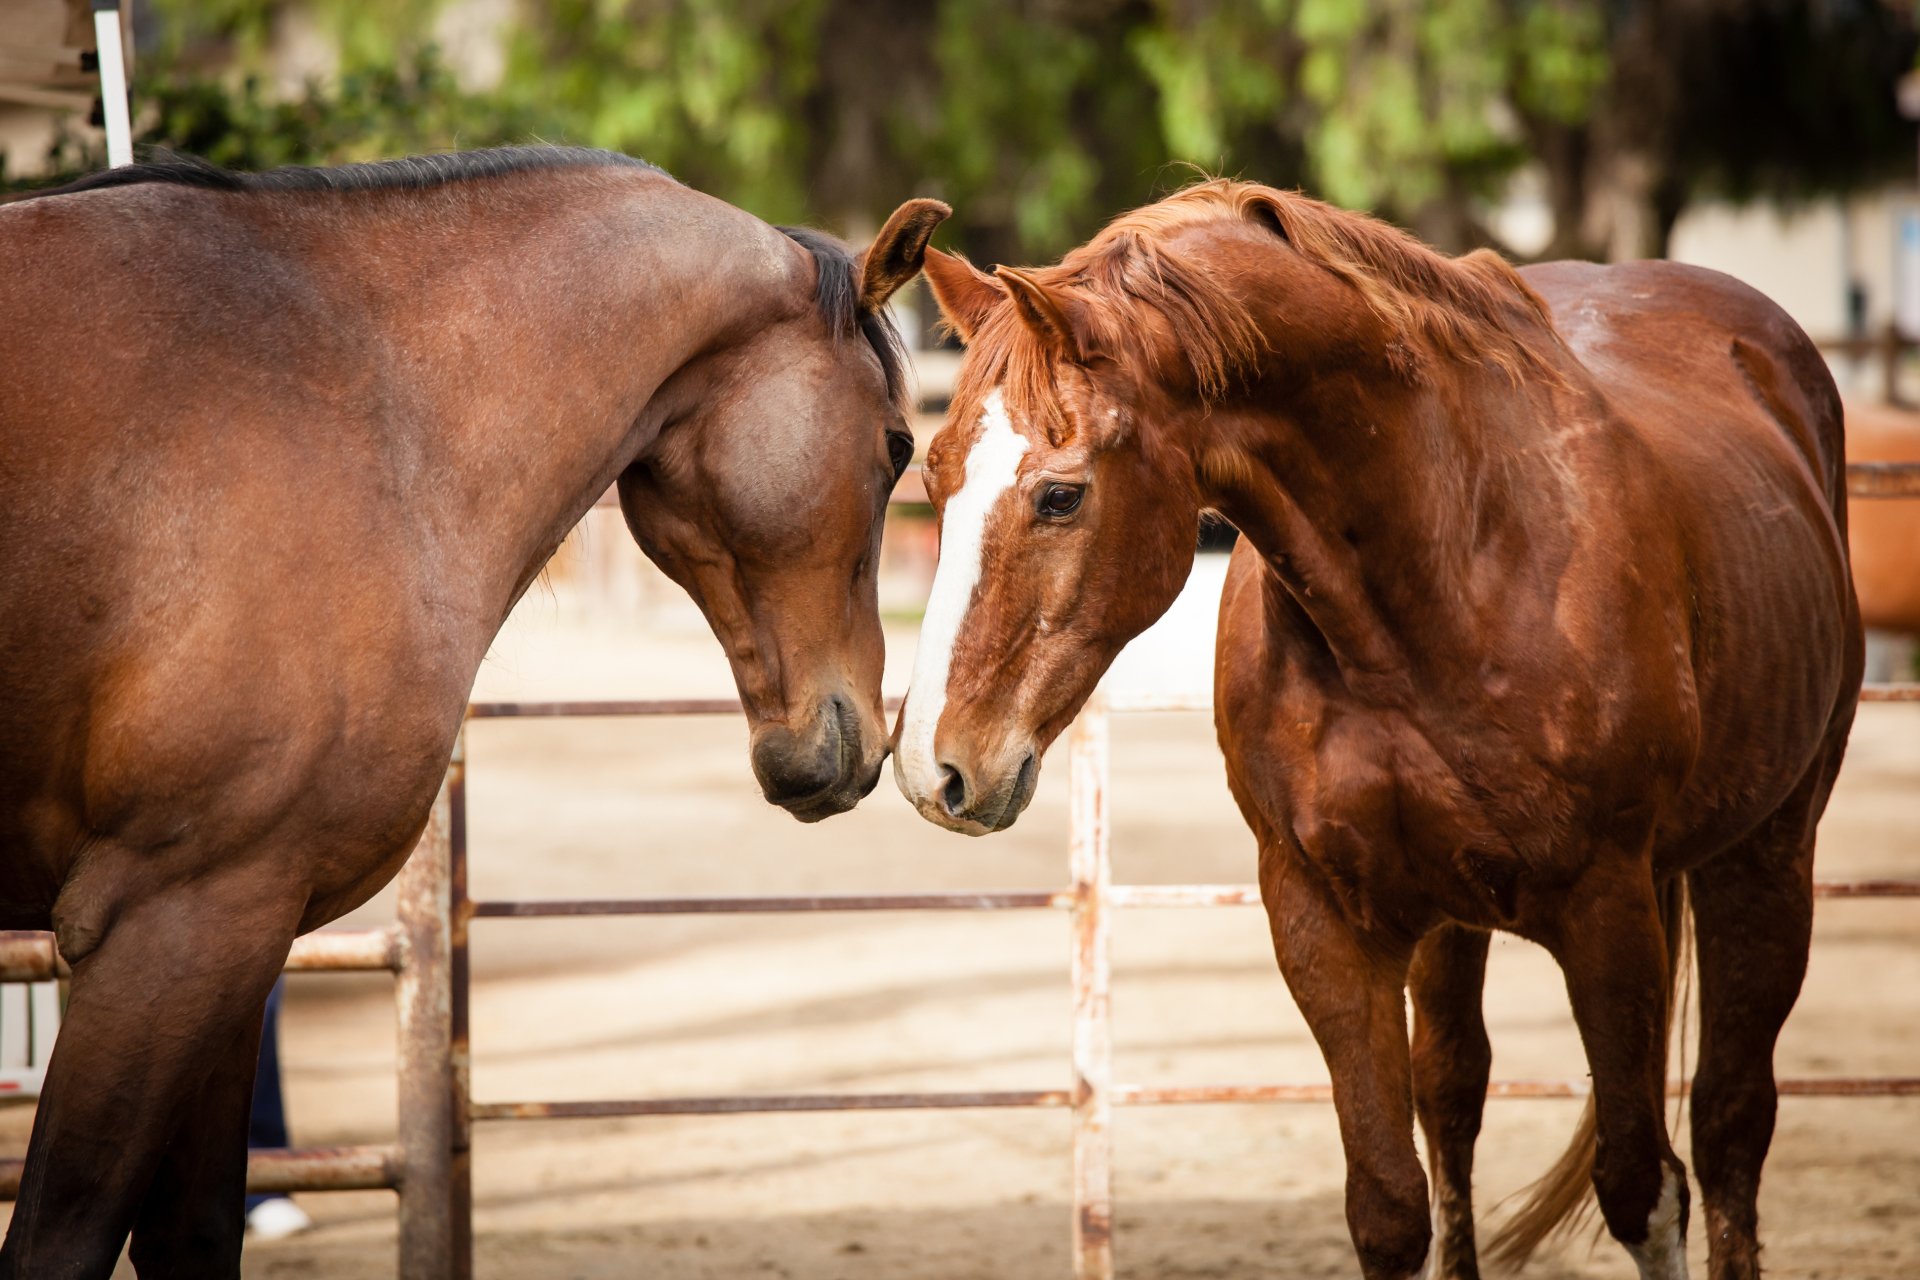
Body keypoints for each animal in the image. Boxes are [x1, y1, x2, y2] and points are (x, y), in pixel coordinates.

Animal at [0, 145, 947, 1277]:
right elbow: (64, 1232)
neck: (361, 399)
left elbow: (191, 1233)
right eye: (898, 447)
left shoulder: (230, 939)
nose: (859, 741)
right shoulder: (177, 916)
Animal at [897, 179, 1862, 1280]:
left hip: (1767, 857)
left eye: (1061, 493)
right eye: (932, 476)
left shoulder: (1607, 912)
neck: (1454, 559)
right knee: (1454, 1100)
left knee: (1729, 1125)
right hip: (1458, 920)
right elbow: (1390, 1203)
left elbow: (1642, 1188)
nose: (934, 768)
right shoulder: (1323, 919)